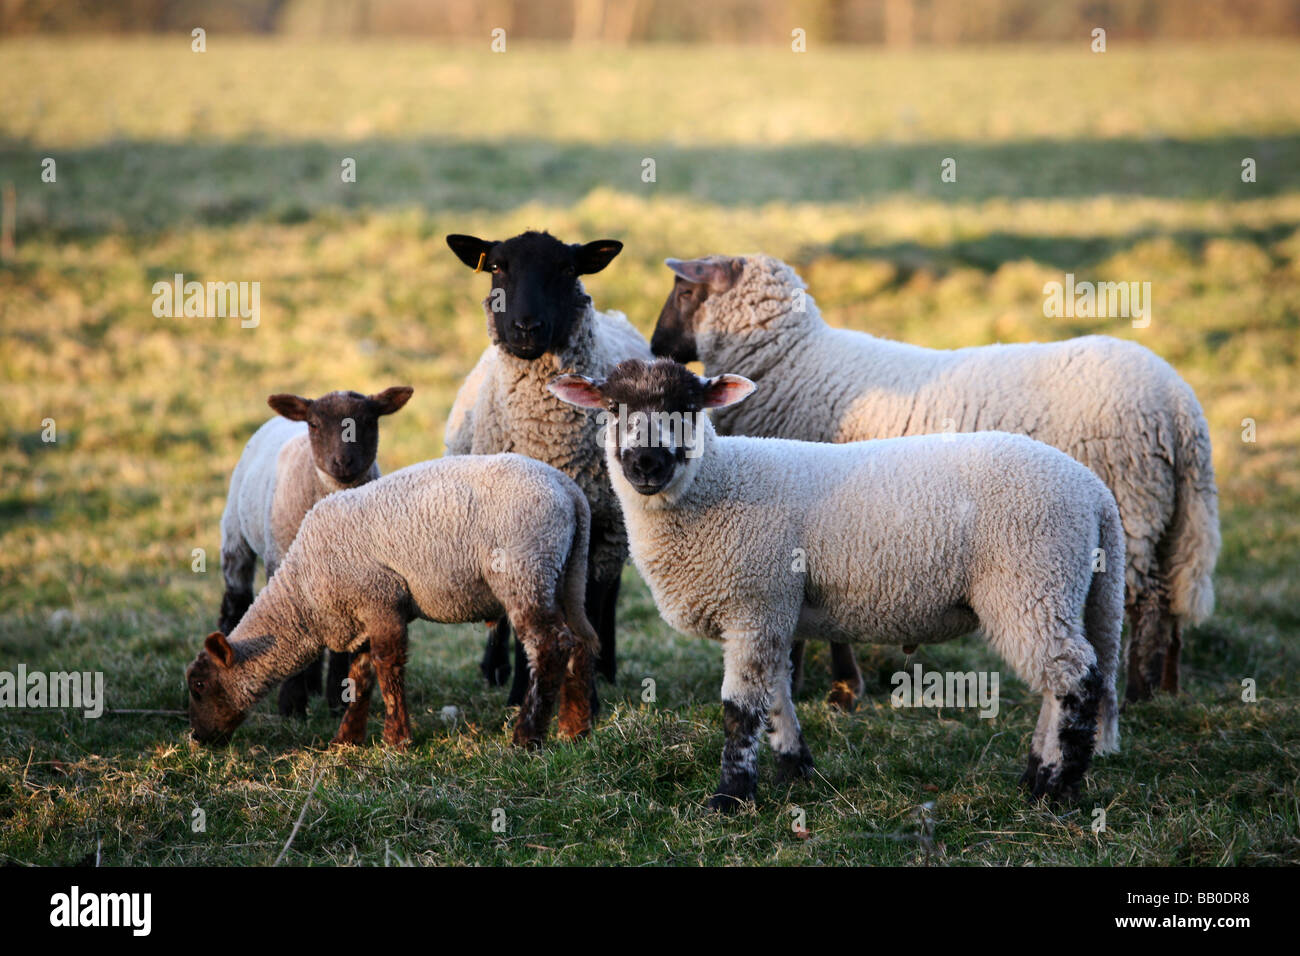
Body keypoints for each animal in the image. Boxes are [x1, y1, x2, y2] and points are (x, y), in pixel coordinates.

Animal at [189, 453, 599, 748]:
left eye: (199, 686)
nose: (197, 738)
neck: (302, 598)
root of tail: (568, 491)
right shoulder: (360, 617)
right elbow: (360, 676)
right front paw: (346, 740)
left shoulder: (381, 600)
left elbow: (388, 666)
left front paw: (396, 739)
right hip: (565, 574)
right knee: (580, 640)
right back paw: (574, 728)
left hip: (524, 569)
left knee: (550, 646)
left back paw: (526, 737)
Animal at [218, 386, 413, 717]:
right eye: (314, 424)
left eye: (369, 421)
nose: (343, 462)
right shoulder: (281, 561)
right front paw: (292, 706)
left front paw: (338, 699)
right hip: (236, 532)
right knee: (235, 599)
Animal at [443, 229, 653, 708]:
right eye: (496, 267)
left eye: (567, 269)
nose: (526, 328)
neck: (550, 440)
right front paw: (522, 693)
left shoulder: (606, 528)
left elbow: (590, 608)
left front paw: (587, 696)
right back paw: (494, 668)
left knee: (608, 597)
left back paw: (607, 667)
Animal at [550, 358, 1124, 810]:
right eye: (612, 406)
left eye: (689, 407)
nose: (647, 462)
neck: (716, 484)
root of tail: (1093, 490)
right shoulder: (775, 609)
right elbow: (776, 694)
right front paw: (795, 770)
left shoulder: (755, 600)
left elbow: (740, 707)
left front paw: (730, 798)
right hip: (1050, 588)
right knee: (1059, 682)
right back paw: (1035, 778)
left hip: (1030, 579)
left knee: (1077, 678)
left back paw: (1058, 790)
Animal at [651, 253, 1219, 704]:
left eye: (685, 291)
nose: (657, 348)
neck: (796, 363)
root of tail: (1181, 405)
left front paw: (839, 690)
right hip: (1169, 511)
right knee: (1172, 596)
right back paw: (1169, 687)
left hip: (1134, 503)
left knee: (1146, 601)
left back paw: (1140, 690)